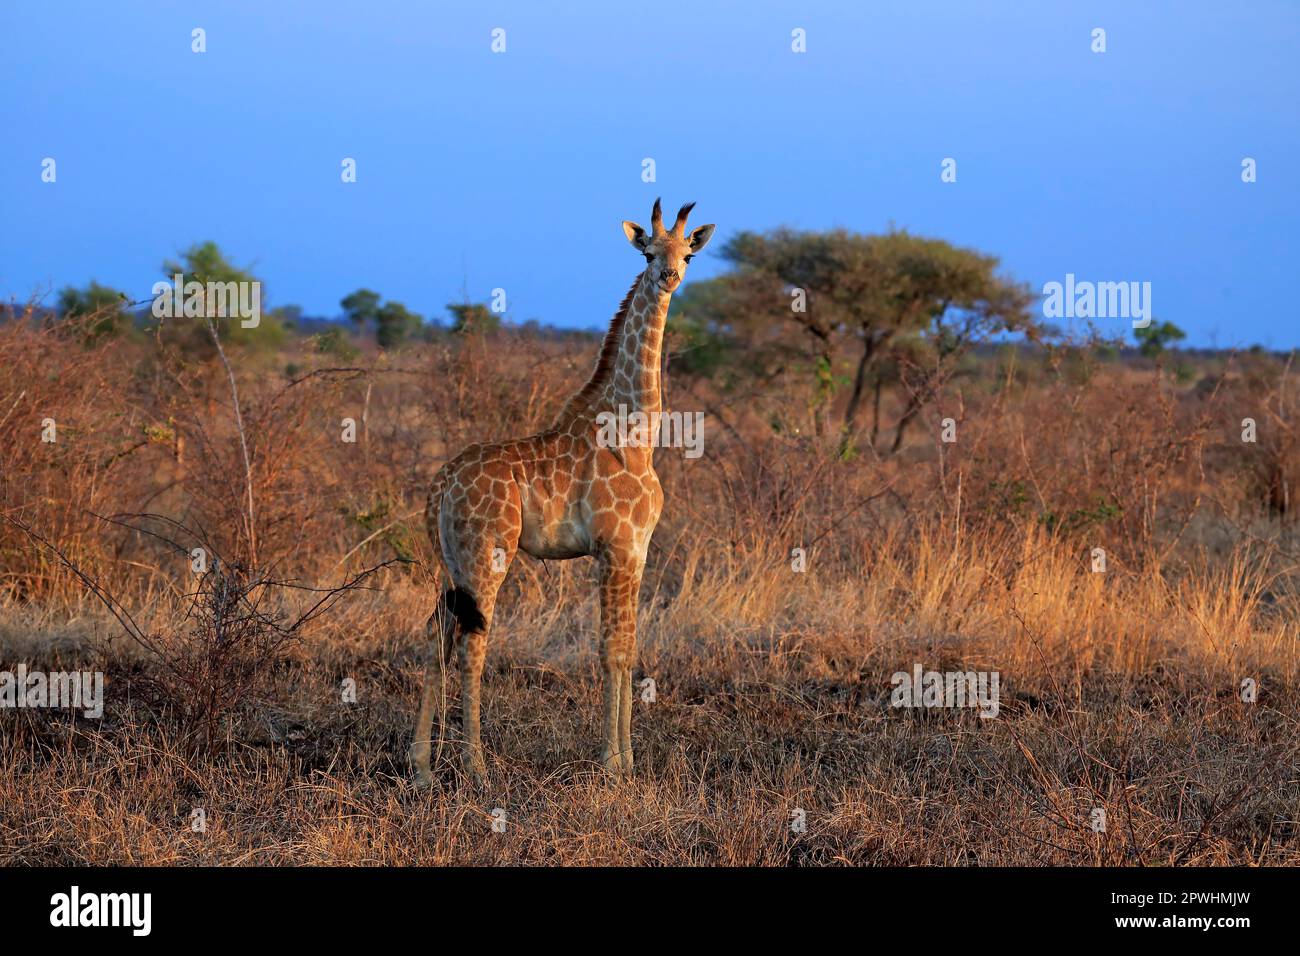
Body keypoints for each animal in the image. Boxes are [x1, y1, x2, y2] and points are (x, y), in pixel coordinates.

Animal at [409, 199, 715, 787]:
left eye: (687, 253)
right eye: (648, 251)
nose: (669, 276)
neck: (635, 435)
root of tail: (440, 483)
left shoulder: (638, 552)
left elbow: (629, 647)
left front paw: (629, 761)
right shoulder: (614, 549)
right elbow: (610, 650)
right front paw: (612, 765)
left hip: (451, 561)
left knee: (437, 636)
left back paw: (420, 769)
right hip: (488, 554)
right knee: (473, 646)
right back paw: (477, 769)